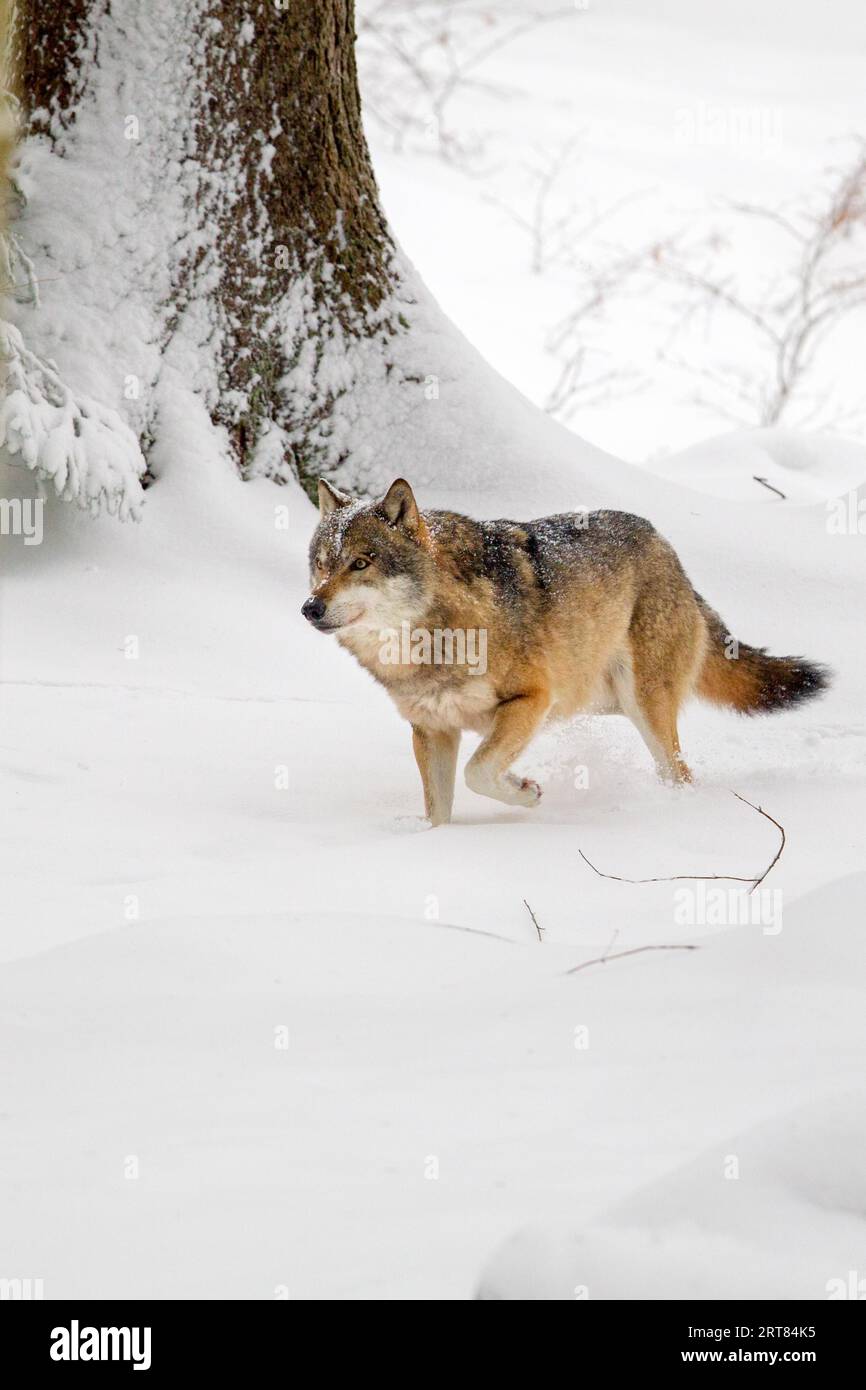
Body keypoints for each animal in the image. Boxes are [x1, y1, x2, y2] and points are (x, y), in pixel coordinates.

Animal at [302, 478, 829, 825]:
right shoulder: (432, 730)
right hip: (599, 701)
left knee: (680, 771)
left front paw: (526, 793)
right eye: (322, 565)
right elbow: (438, 813)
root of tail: (668, 550)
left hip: (642, 705)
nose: (310, 607)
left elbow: (478, 771)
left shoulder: (531, 699)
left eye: (361, 563)